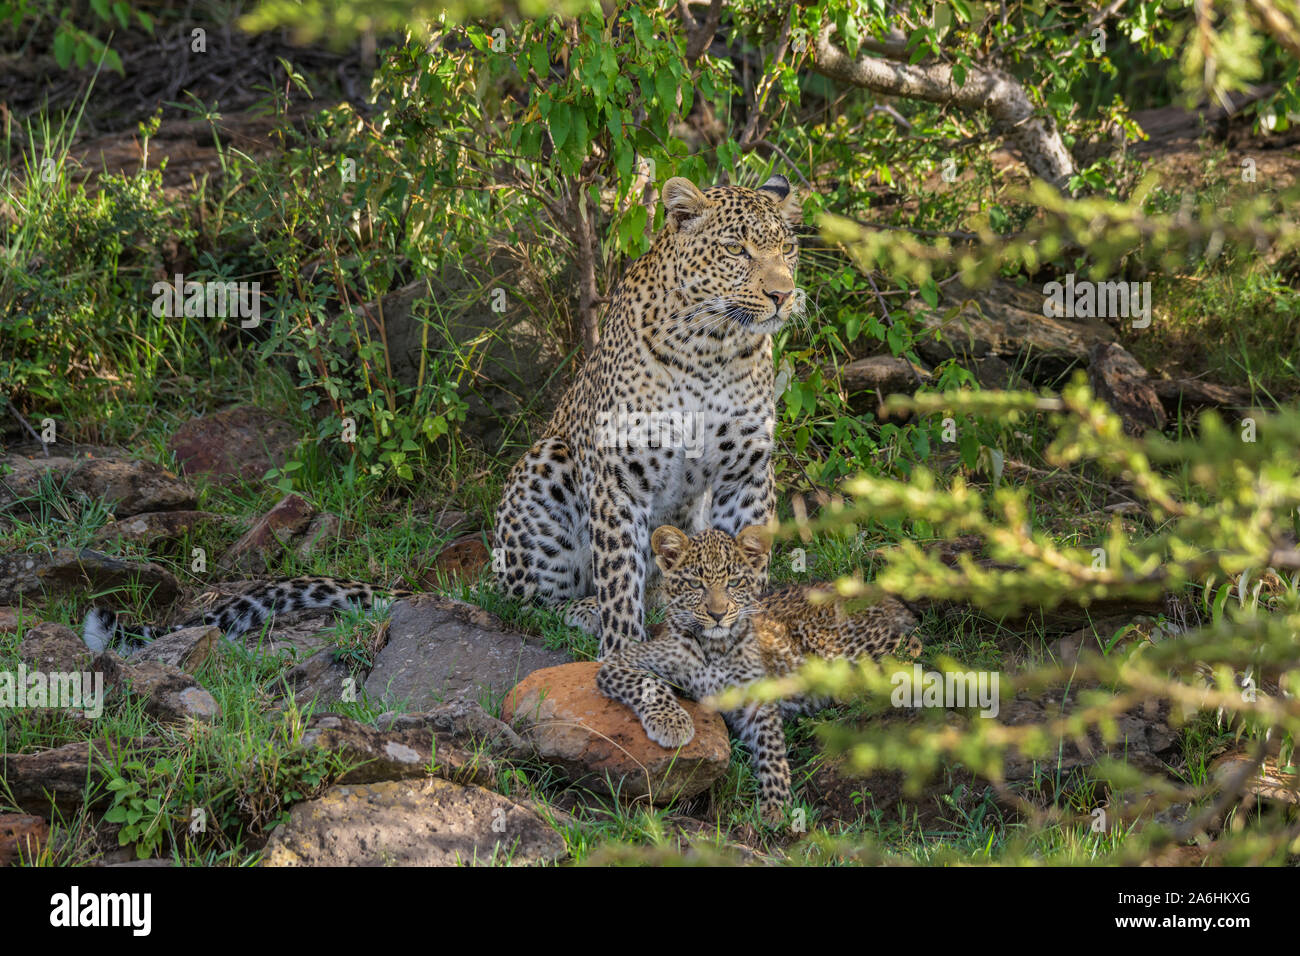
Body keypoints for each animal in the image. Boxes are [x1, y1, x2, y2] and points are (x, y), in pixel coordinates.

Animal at [494, 174, 805, 659]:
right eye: (736, 249)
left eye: (787, 248)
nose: (783, 294)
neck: (713, 349)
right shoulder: (621, 476)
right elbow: (619, 576)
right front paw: (622, 650)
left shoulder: (746, 471)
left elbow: (746, 561)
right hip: (547, 463)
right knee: (530, 603)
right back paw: (585, 611)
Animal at [596, 525, 919, 823]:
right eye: (695, 584)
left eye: (734, 582)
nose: (717, 614)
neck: (714, 648)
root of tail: (875, 594)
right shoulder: (618, 661)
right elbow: (646, 682)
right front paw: (672, 723)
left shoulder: (756, 700)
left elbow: (771, 748)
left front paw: (775, 805)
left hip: (832, 642)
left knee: (911, 647)